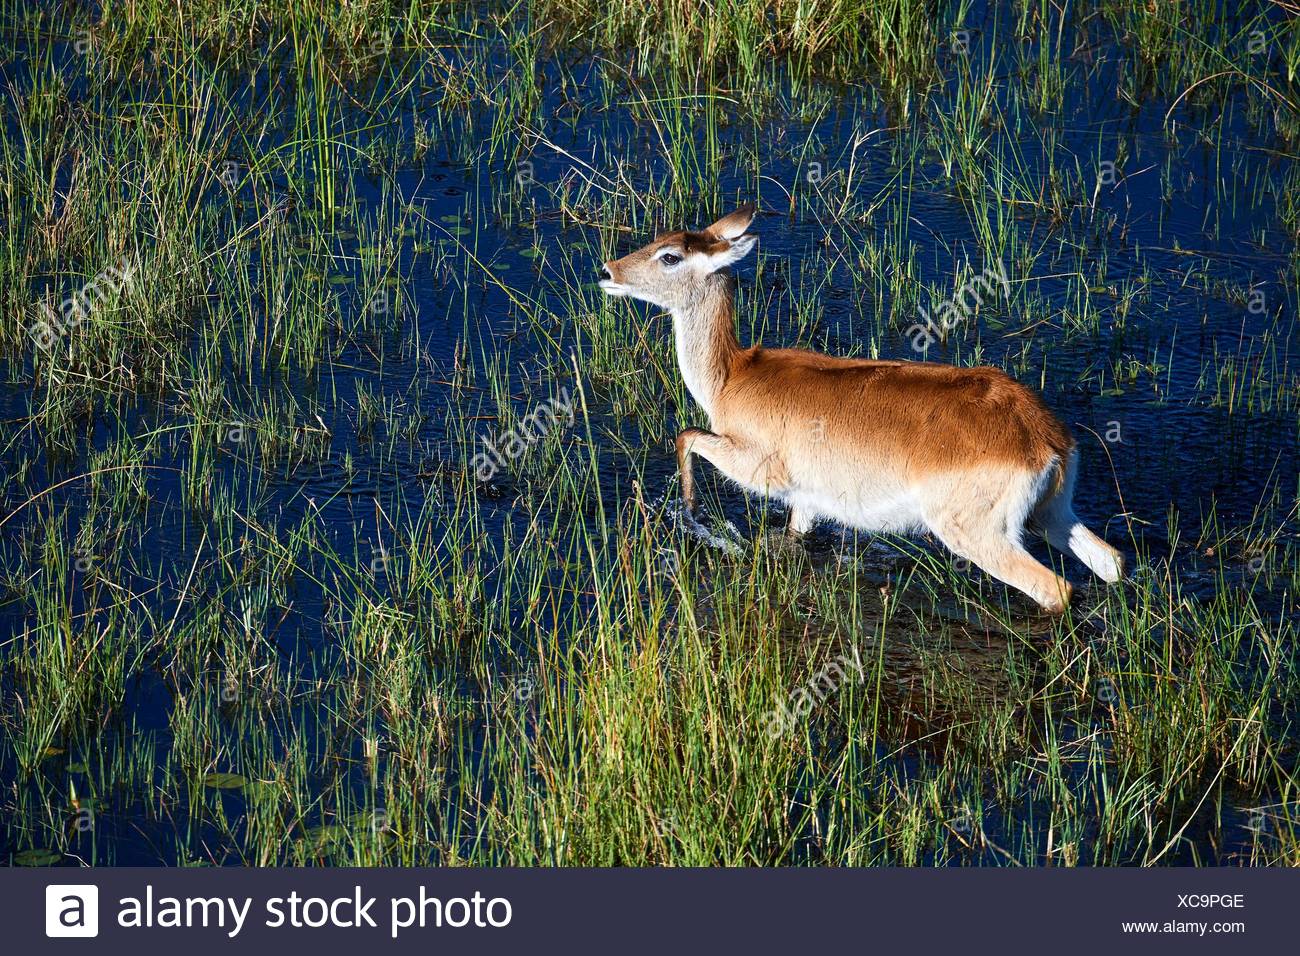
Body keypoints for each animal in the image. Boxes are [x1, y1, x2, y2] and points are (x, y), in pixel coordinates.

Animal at [598, 204, 1124, 613]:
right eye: (661, 238)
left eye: (670, 256)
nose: (607, 271)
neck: (732, 376)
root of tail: (1045, 439)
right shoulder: (807, 502)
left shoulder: (759, 467)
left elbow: (686, 436)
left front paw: (691, 514)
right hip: (1052, 514)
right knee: (1112, 563)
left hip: (979, 532)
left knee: (1057, 588)